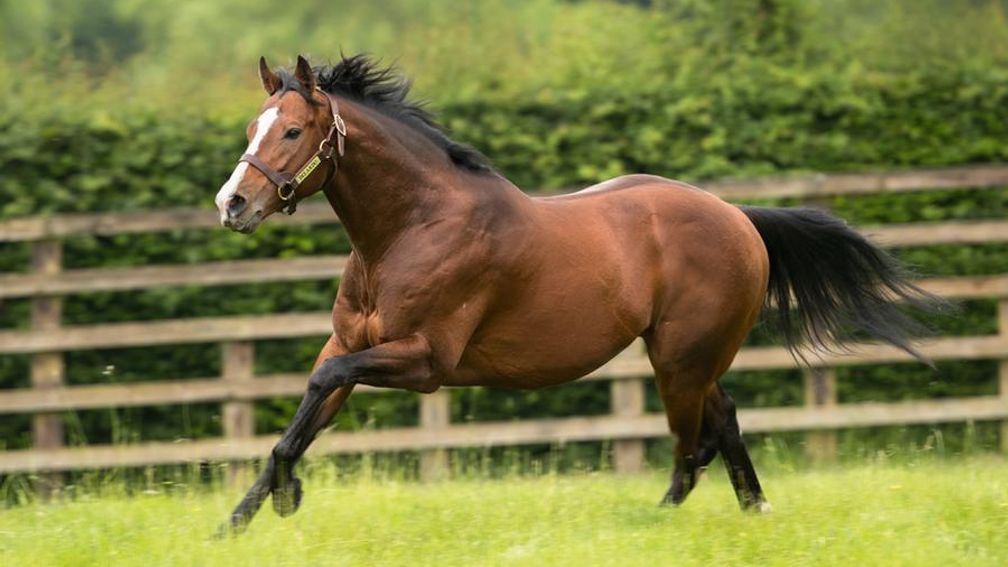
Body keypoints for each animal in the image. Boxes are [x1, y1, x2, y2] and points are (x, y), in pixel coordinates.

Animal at [213, 54, 937, 535]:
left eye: (292, 131)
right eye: (251, 127)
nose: (231, 204)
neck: (410, 229)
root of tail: (738, 217)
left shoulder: (423, 361)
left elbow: (312, 401)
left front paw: (288, 497)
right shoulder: (350, 346)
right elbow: (303, 417)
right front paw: (235, 524)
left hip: (679, 359)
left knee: (692, 441)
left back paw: (665, 522)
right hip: (691, 361)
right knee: (722, 422)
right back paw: (752, 508)